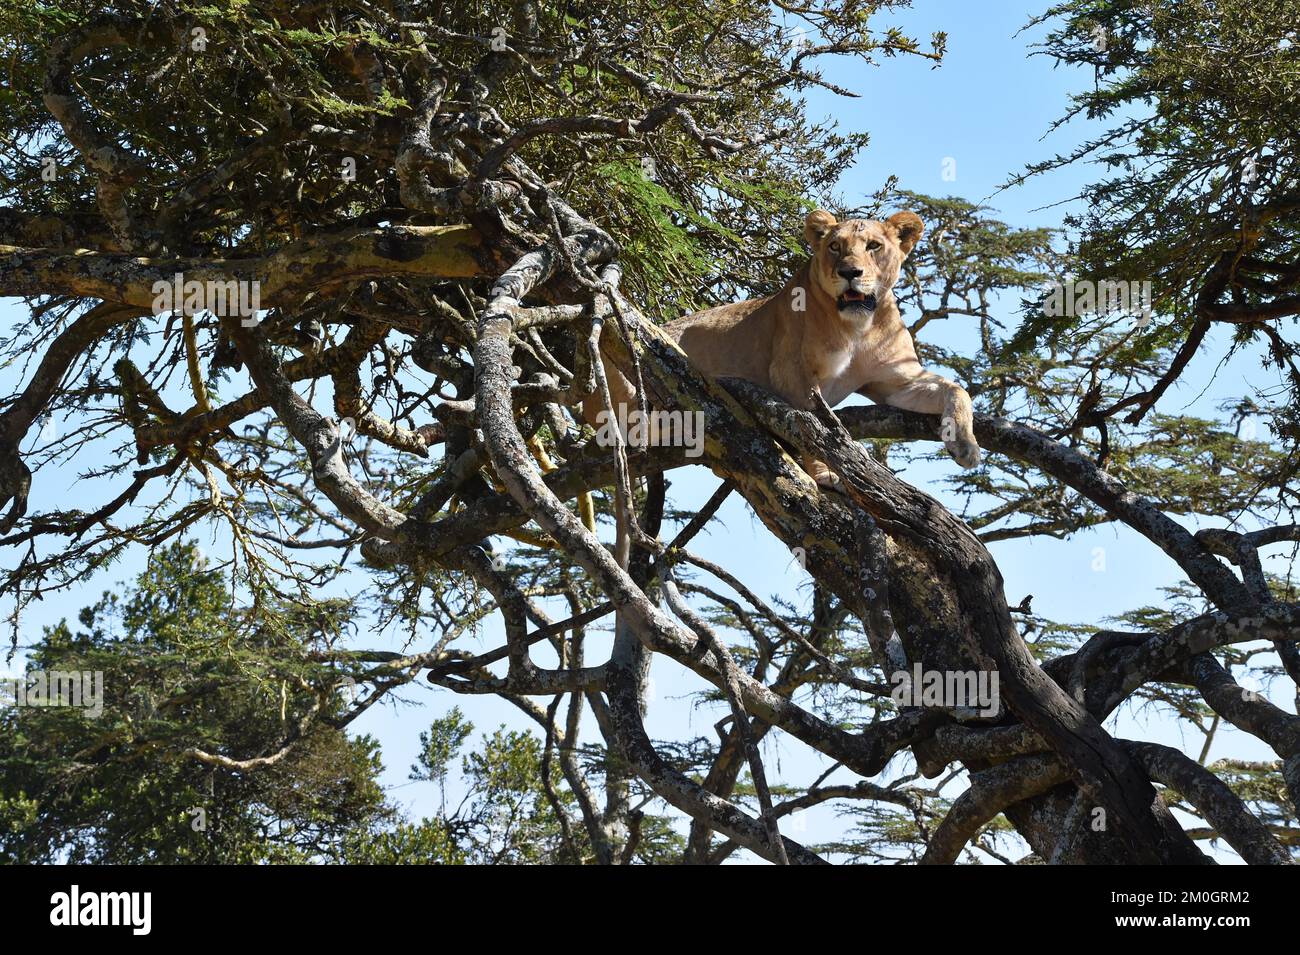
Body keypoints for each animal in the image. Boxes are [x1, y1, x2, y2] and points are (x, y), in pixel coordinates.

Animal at [583, 208, 981, 486]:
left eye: (873, 246)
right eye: (835, 247)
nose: (849, 272)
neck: (858, 327)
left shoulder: (896, 381)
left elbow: (956, 390)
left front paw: (965, 445)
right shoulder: (791, 373)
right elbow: (814, 429)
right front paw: (825, 471)